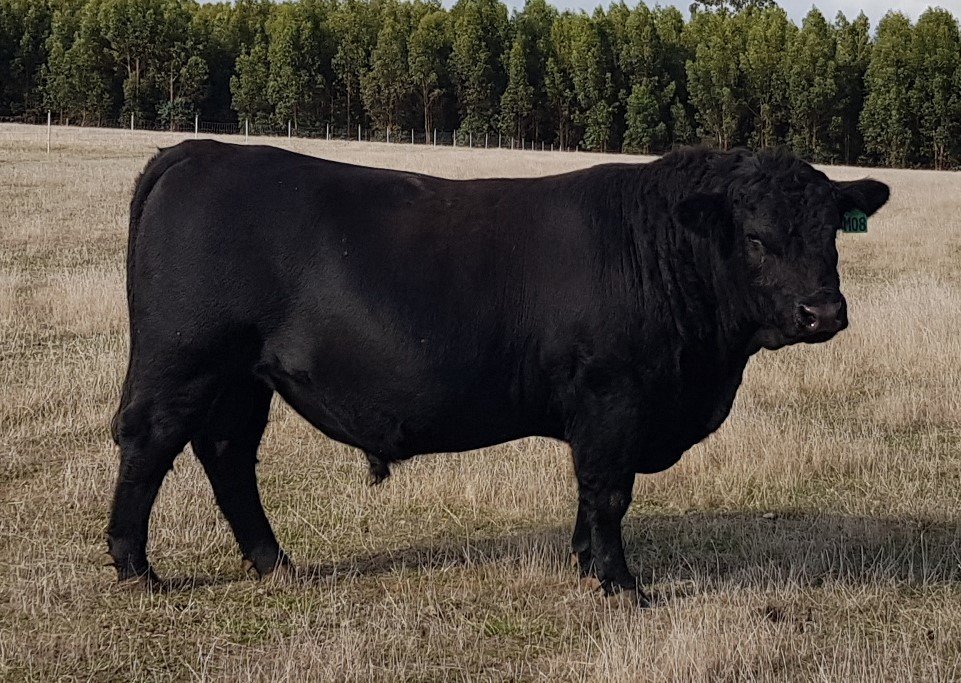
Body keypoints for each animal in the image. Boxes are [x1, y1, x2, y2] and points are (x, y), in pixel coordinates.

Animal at [107, 142, 889, 604]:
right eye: (754, 237)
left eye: (831, 230)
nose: (822, 310)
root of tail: (204, 150)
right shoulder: (613, 396)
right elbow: (609, 492)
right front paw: (621, 586)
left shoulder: (600, 412)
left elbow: (589, 494)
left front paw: (585, 563)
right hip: (184, 359)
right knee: (149, 445)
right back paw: (137, 568)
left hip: (242, 378)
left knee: (227, 452)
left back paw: (274, 562)